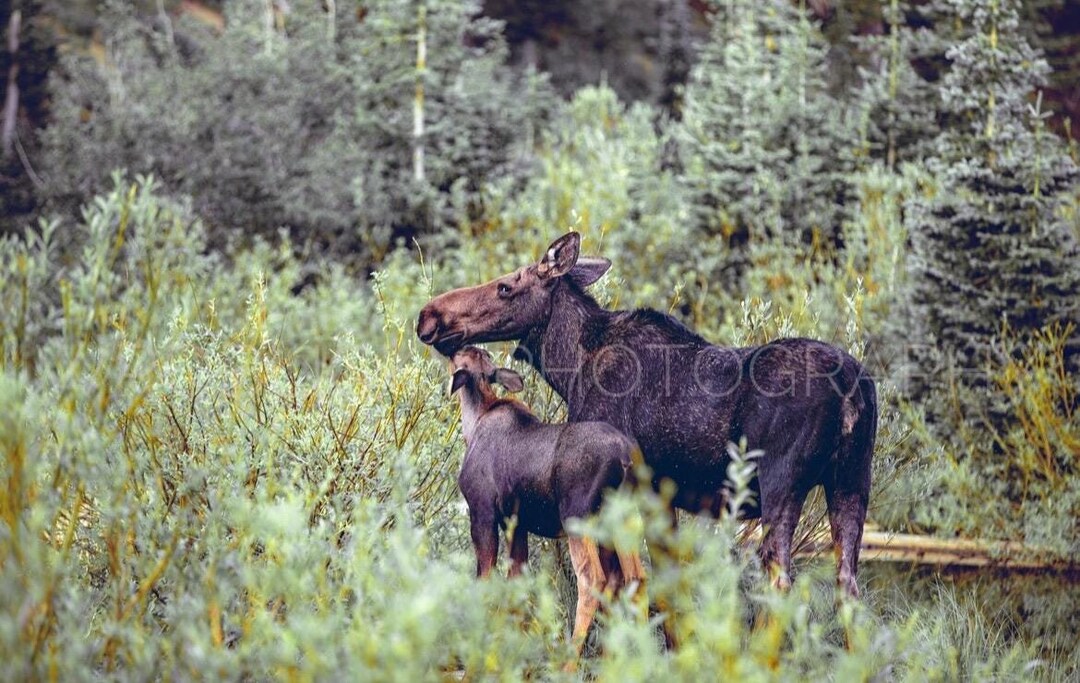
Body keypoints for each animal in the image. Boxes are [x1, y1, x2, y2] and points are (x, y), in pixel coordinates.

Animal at [418, 232, 878, 599]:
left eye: (505, 287)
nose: (429, 315)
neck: (569, 368)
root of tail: (853, 389)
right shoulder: (661, 492)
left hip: (781, 481)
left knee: (781, 580)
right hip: (852, 481)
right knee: (848, 582)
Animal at [447, 345, 647, 656]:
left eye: (461, 356)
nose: (451, 349)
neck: (474, 421)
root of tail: (626, 459)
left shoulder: (482, 510)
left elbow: (485, 577)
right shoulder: (515, 523)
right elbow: (516, 579)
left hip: (578, 517)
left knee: (592, 580)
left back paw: (570, 659)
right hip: (623, 519)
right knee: (636, 579)